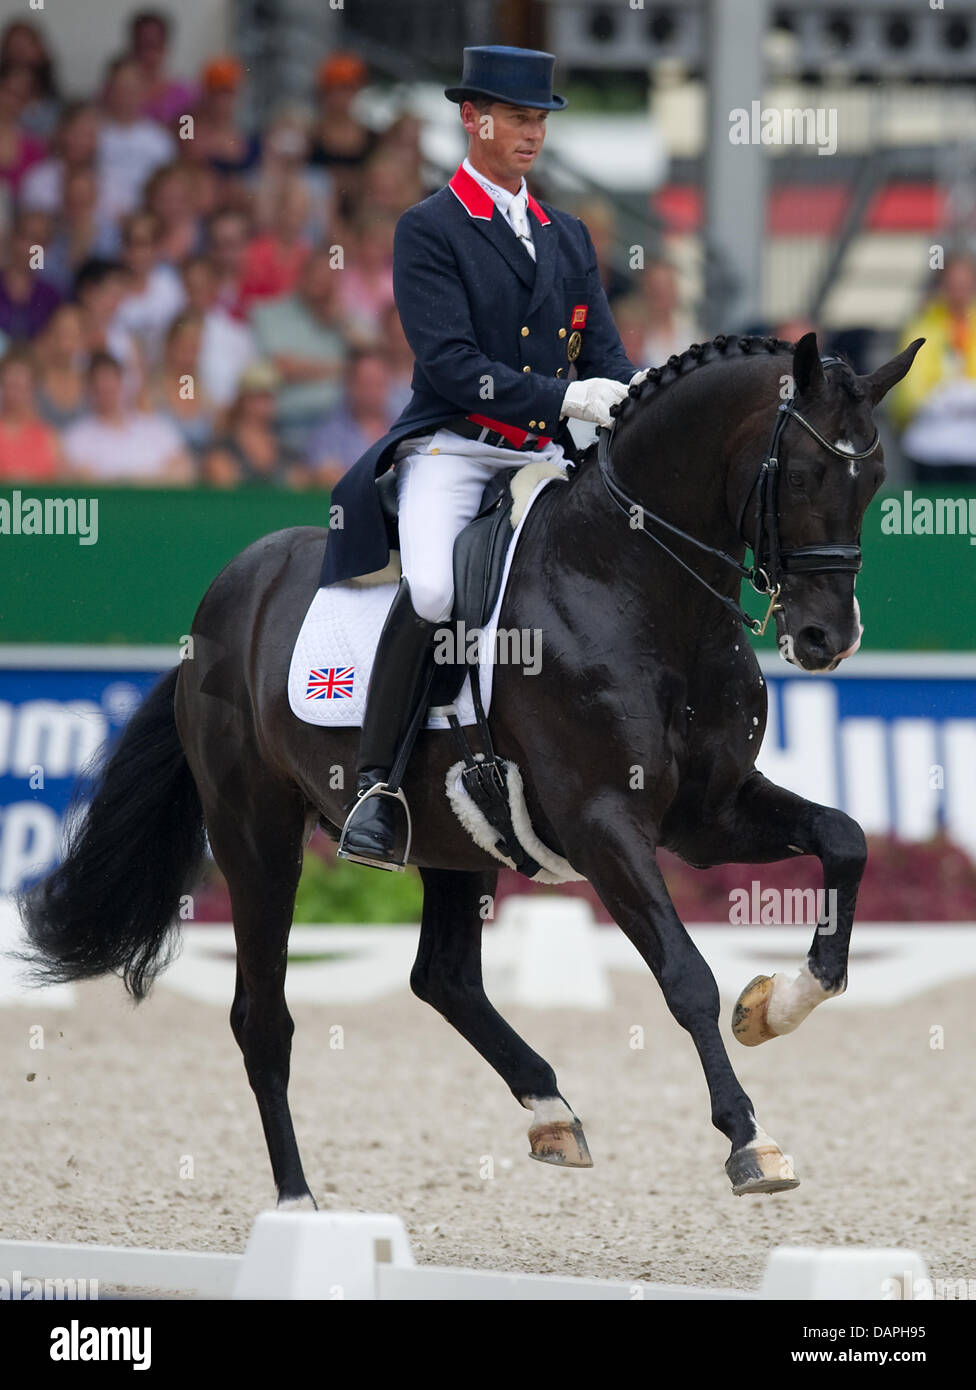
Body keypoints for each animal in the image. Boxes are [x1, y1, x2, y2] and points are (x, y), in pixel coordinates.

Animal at [18, 330, 923, 1206]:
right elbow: (685, 973)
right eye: (802, 474)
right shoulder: (602, 822)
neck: (633, 586)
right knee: (262, 1015)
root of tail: (225, 596)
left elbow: (844, 841)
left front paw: (776, 1006)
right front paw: (748, 1141)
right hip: (253, 832)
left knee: (442, 978)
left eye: (875, 479)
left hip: (453, 838)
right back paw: (298, 1206)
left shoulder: (709, 814)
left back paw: (550, 1111)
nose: (827, 638)